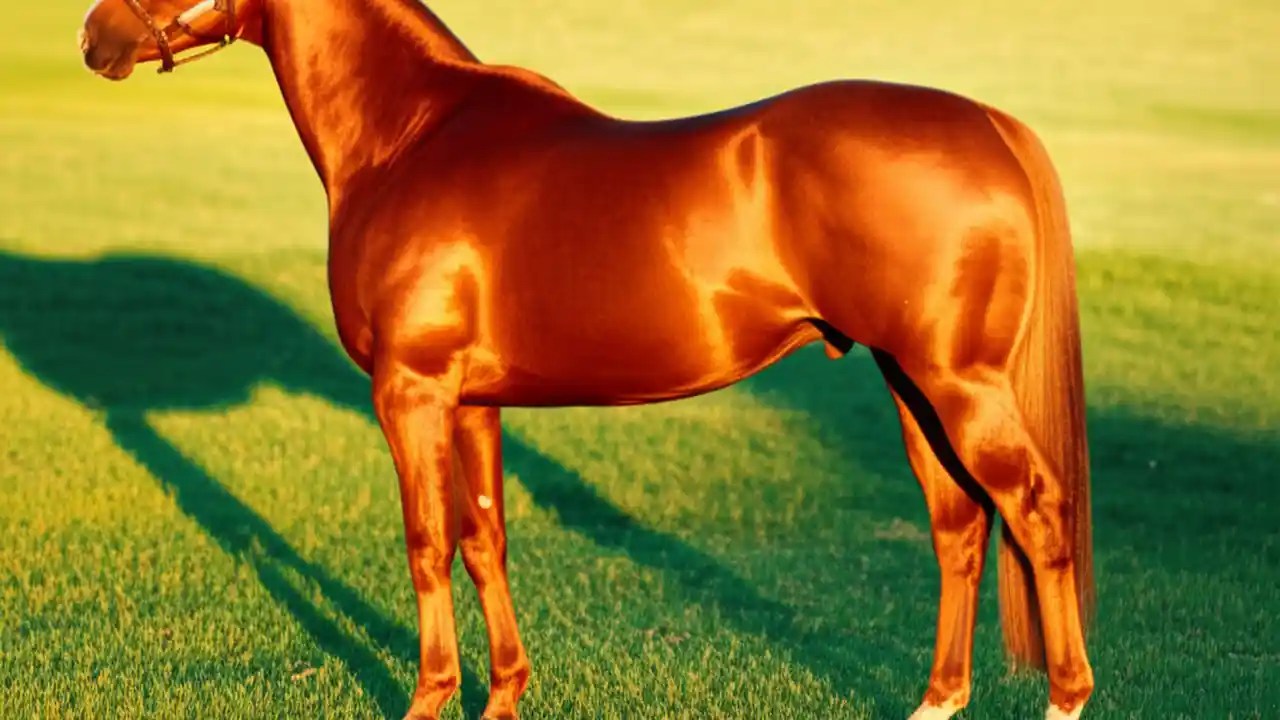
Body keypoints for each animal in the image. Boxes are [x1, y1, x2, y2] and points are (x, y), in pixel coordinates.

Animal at [77, 1, 1096, 718]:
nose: (94, 33)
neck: (410, 135)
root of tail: (989, 125)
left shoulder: (410, 392)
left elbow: (424, 545)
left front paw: (430, 699)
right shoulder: (472, 401)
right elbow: (482, 539)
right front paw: (501, 697)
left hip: (957, 385)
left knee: (1036, 513)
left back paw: (1063, 696)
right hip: (909, 381)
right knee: (960, 525)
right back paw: (937, 700)